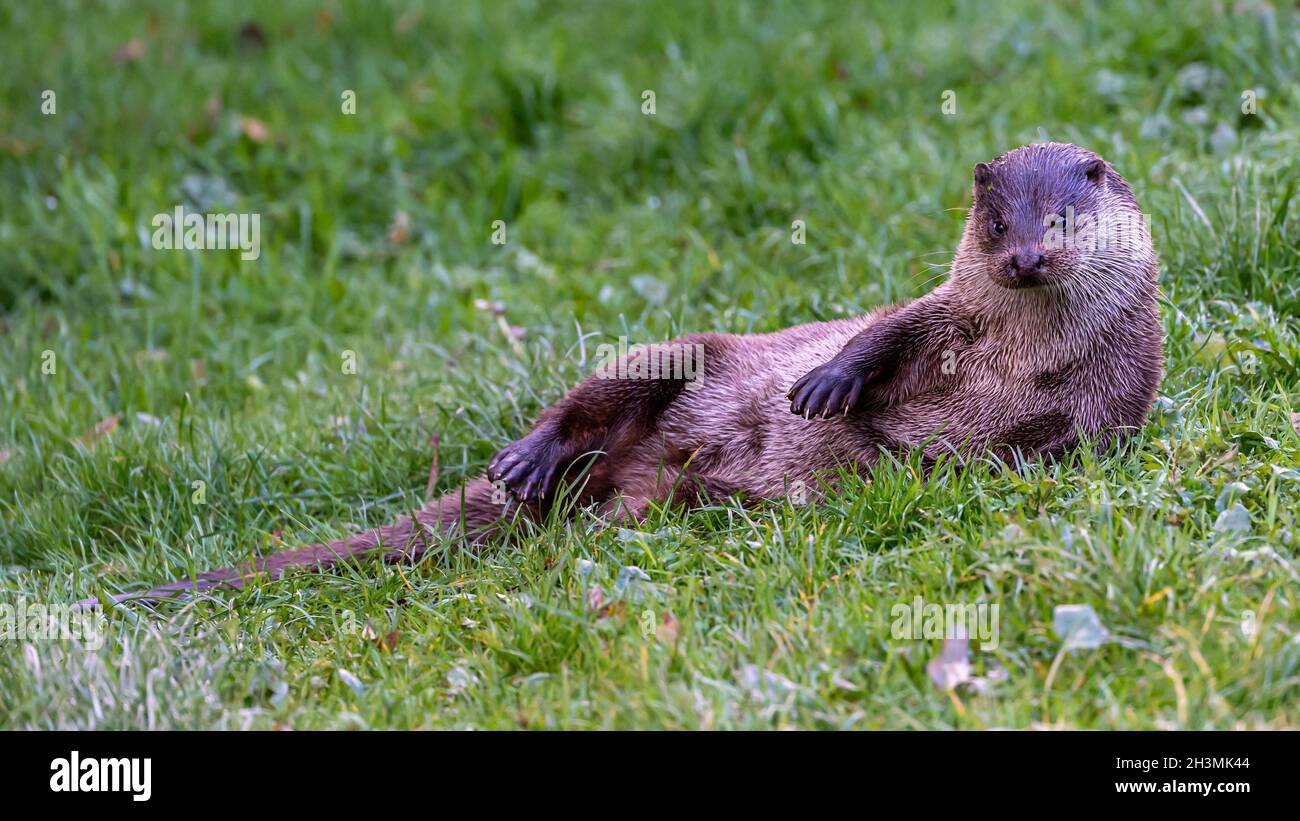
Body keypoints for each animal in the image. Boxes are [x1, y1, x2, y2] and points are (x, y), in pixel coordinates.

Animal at [89, 142, 1163, 607]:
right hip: (686, 351)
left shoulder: (1111, 398)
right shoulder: (939, 312)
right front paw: (827, 387)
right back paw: (527, 459)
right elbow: (882, 334)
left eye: (1060, 218)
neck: (1019, 362)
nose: (1025, 256)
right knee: (596, 390)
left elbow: (1050, 448)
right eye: (996, 221)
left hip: (652, 490)